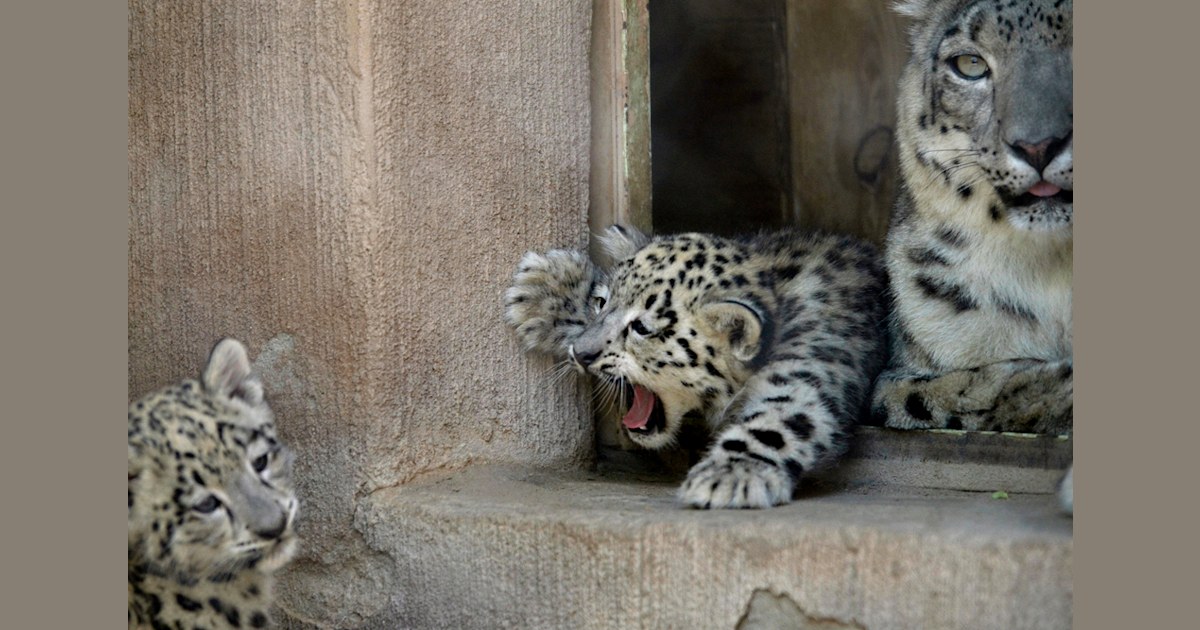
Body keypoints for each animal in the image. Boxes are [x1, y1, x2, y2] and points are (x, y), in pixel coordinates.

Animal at [505, 225, 888, 508]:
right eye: (601, 302)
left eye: (642, 327)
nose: (582, 353)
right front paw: (543, 289)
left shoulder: (811, 367)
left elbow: (778, 416)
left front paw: (731, 474)